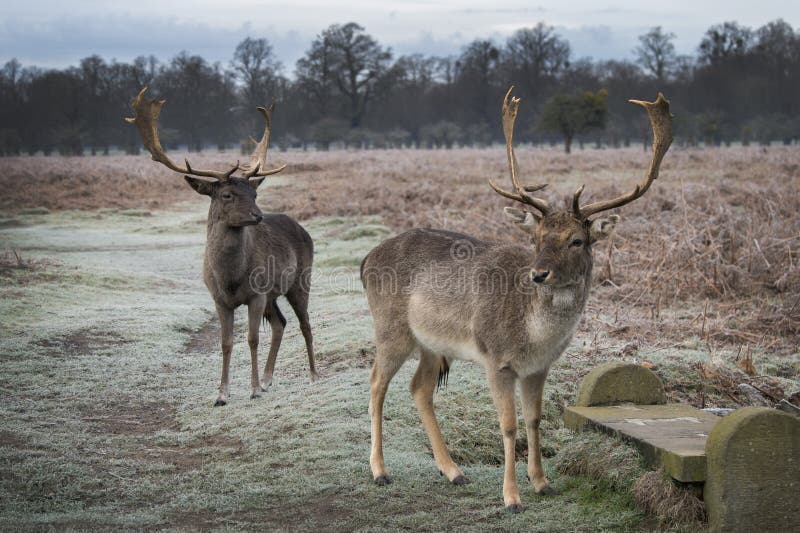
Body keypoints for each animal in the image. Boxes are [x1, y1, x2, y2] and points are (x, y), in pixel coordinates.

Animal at [126, 87, 318, 407]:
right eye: (227, 194)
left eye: (254, 192)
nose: (257, 215)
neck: (230, 277)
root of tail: (302, 229)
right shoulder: (218, 299)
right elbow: (226, 342)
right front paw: (222, 394)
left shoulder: (256, 293)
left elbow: (251, 339)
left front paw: (252, 389)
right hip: (273, 294)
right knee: (280, 323)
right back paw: (268, 379)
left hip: (300, 280)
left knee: (304, 323)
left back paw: (312, 375)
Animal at [360, 87, 672, 512]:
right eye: (537, 237)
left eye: (577, 240)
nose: (538, 273)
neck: (533, 336)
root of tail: (365, 260)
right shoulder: (496, 359)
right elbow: (508, 425)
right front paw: (512, 496)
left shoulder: (539, 367)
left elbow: (535, 420)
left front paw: (542, 482)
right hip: (391, 328)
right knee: (376, 382)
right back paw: (379, 471)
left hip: (431, 344)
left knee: (419, 388)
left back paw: (454, 471)